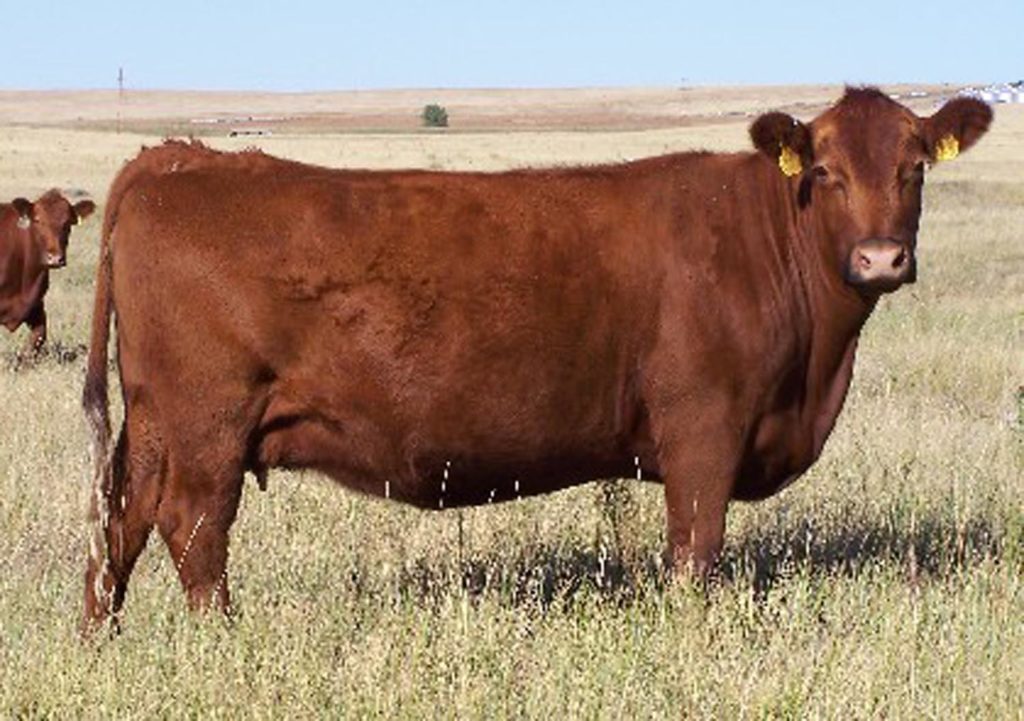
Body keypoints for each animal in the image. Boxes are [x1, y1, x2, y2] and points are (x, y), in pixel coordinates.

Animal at [81, 88, 991, 632]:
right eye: (827, 170)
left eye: (914, 167)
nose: (881, 259)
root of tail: (177, 157)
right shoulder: (705, 427)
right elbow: (695, 554)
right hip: (208, 422)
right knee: (193, 529)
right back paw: (220, 641)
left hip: (158, 419)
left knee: (121, 521)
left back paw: (103, 641)